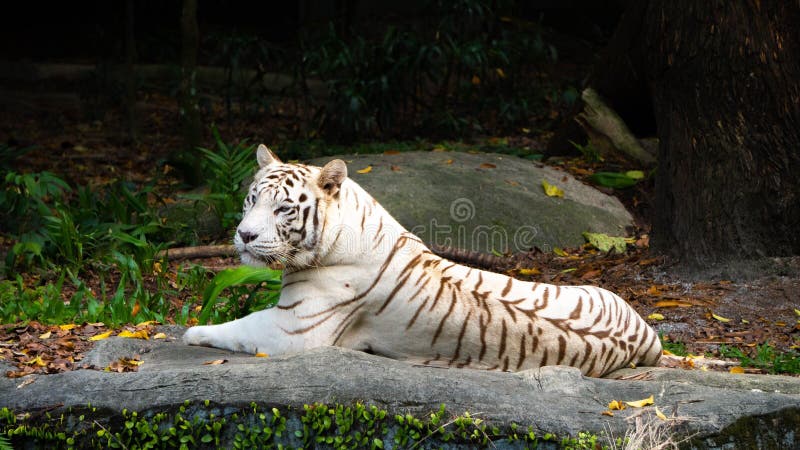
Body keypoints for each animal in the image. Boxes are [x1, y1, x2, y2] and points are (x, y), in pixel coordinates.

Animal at [183, 145, 662, 377]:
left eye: (283, 209)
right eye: (252, 200)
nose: (245, 235)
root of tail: (650, 338)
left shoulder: (292, 331)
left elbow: (237, 327)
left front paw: (192, 331)